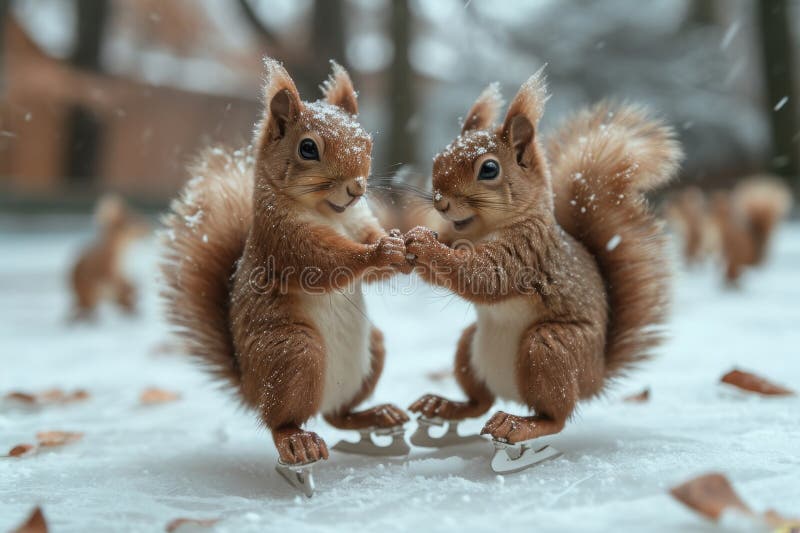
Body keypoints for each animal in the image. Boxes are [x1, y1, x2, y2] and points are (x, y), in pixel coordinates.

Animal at [161, 59, 409, 466]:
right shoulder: (283, 239)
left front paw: (400, 244)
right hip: (295, 353)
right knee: (282, 421)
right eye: (307, 148)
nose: (357, 188)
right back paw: (296, 441)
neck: (332, 213)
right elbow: (324, 263)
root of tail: (251, 388)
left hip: (371, 349)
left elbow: (369, 244)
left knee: (338, 415)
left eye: (368, 142)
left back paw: (376, 413)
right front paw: (380, 253)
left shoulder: (359, 219)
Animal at [404, 73, 682, 443]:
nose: (440, 202)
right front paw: (407, 239)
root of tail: (594, 377)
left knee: (555, 416)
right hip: (469, 346)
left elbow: (485, 276)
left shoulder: (527, 250)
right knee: (479, 402)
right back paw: (444, 405)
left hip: (549, 347)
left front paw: (423, 245)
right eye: (439, 159)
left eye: (488, 169)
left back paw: (517, 424)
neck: (483, 230)